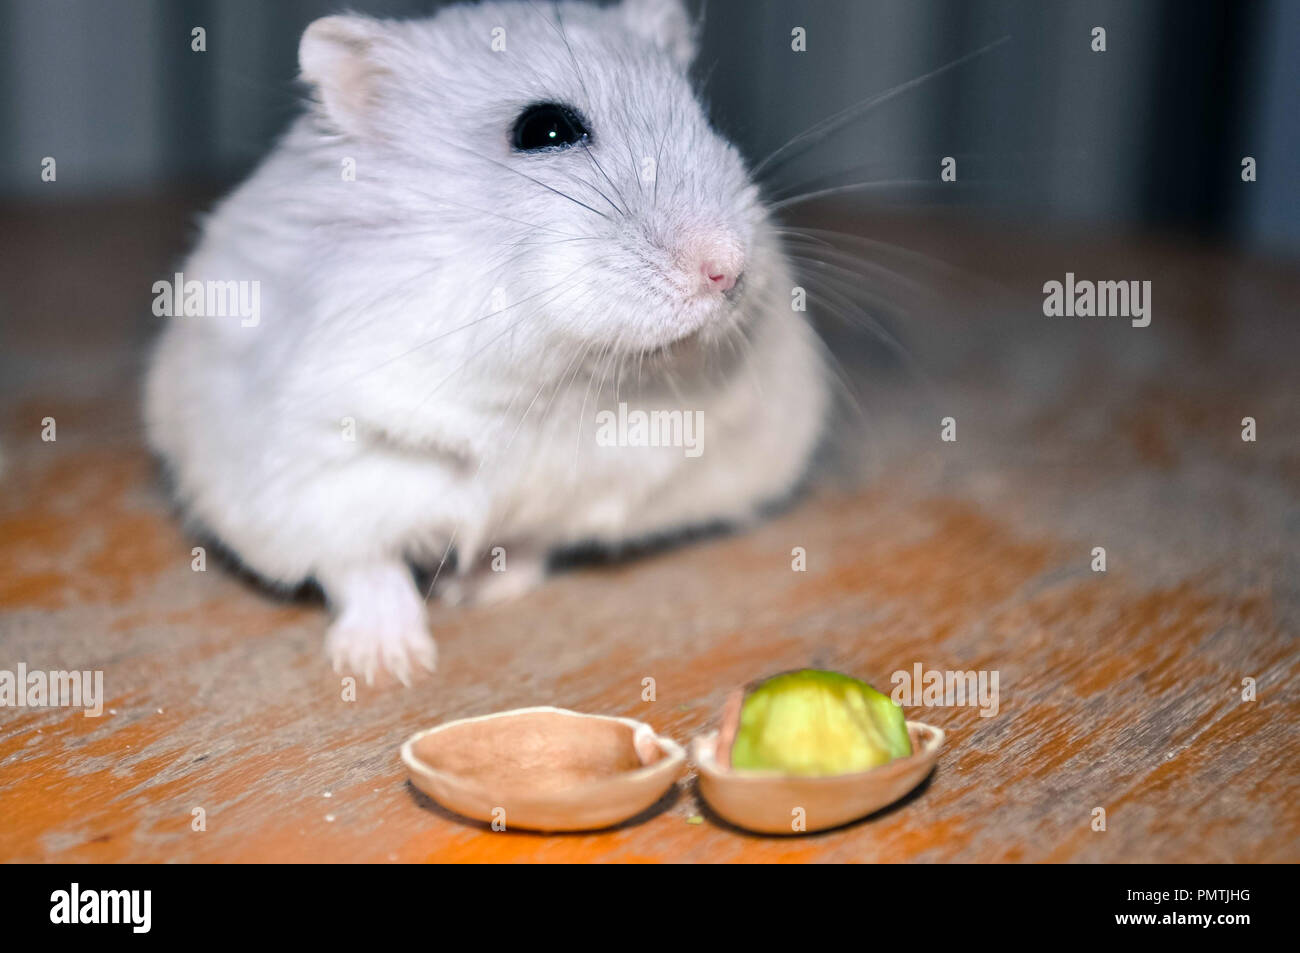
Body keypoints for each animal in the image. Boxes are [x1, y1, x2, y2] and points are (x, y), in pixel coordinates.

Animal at [144, 0, 829, 684]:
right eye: (545, 130)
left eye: (705, 117)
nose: (727, 271)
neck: (560, 378)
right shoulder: (314, 475)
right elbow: (363, 567)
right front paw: (391, 668)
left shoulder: (590, 484)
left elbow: (530, 541)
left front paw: (478, 592)